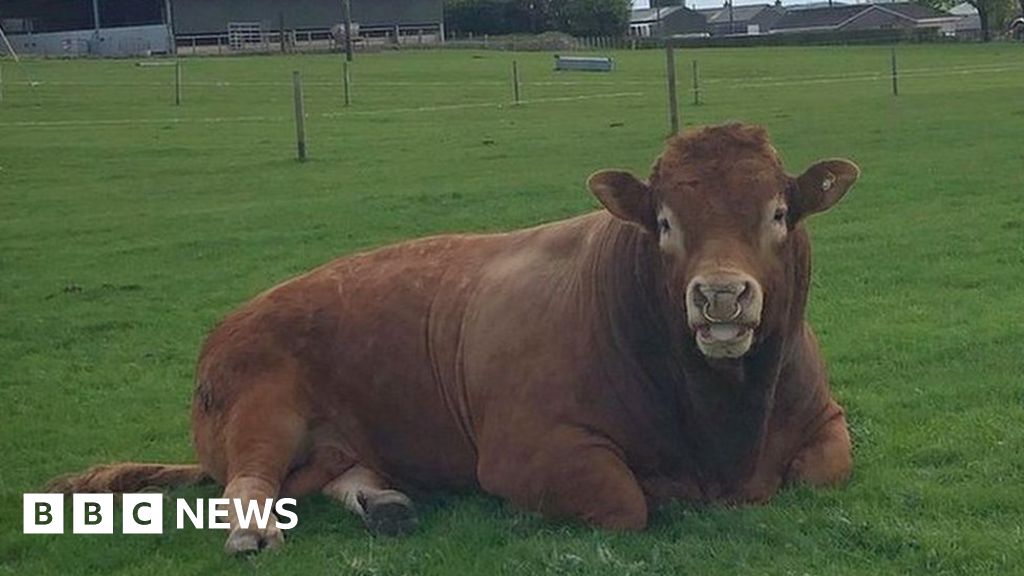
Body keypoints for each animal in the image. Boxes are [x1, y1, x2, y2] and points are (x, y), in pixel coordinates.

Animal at [50, 123, 859, 554]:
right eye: (664, 222)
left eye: (778, 213)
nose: (721, 295)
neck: (722, 428)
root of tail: (229, 324)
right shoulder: (531, 451)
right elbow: (625, 502)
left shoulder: (826, 419)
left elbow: (826, 468)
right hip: (259, 407)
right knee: (248, 483)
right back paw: (255, 533)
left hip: (335, 440)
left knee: (331, 474)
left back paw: (387, 504)